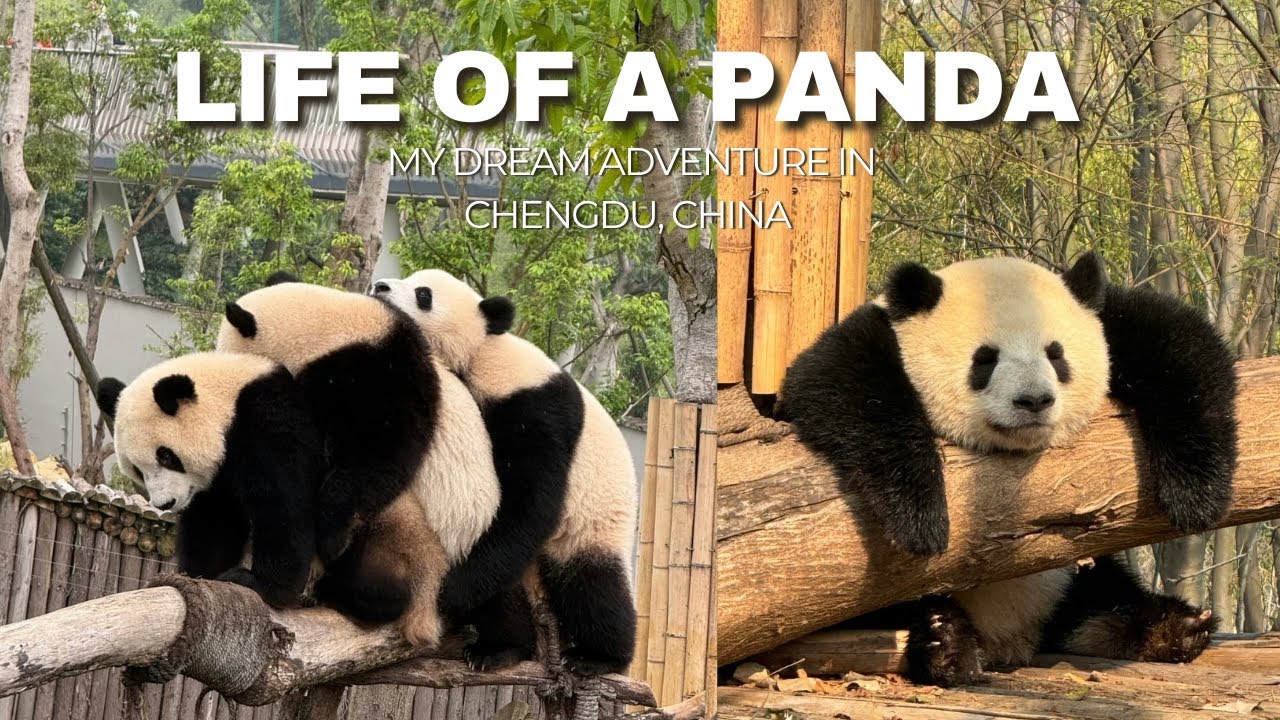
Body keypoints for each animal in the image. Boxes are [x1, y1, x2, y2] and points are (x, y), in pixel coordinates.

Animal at [95, 352, 321, 609]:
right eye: (137, 470)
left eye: (166, 456)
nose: (165, 503)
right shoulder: (216, 482)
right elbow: (214, 518)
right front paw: (203, 575)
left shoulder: (265, 420)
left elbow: (281, 504)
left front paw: (262, 585)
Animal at [370, 269, 638, 676]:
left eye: (423, 294)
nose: (379, 286)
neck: (480, 352)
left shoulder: (533, 407)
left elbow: (529, 504)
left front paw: (453, 591)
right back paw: (501, 648)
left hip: (593, 521)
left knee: (592, 585)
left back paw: (595, 657)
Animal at [782, 253, 1235, 685]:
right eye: (985, 359)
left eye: (1056, 354)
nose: (1033, 400)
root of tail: (1012, 637)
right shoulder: (870, 342)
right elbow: (837, 384)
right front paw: (920, 519)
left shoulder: (1114, 322)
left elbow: (1175, 340)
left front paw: (1198, 497)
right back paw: (946, 644)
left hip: (1067, 579)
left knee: (1100, 596)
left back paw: (1173, 627)